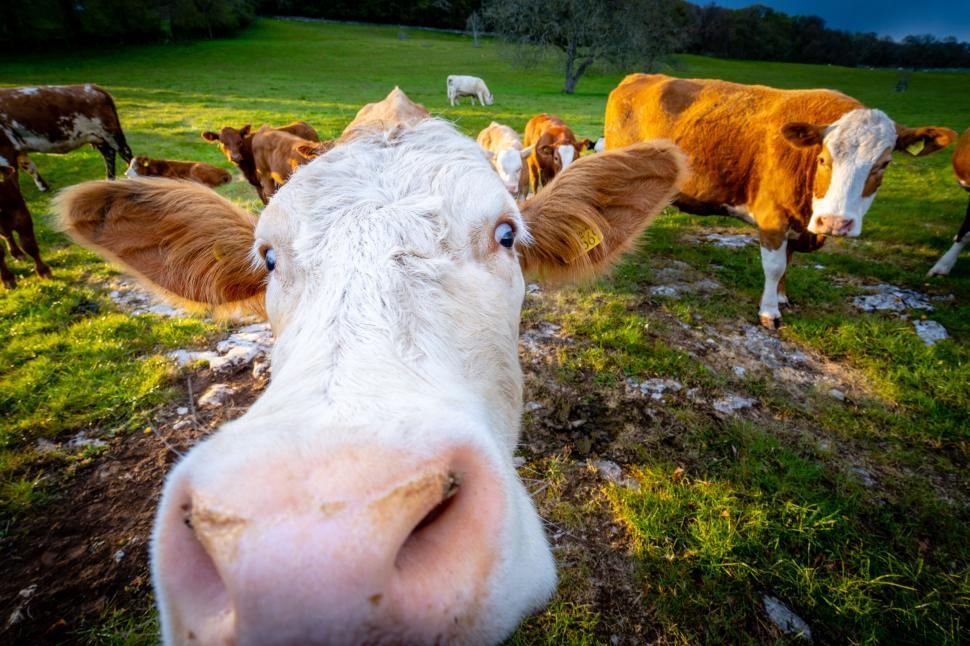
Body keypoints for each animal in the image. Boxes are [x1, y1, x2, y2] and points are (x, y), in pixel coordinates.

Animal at [0, 84, 133, 192]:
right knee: (109, 156)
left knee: (127, 156)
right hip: (100, 139)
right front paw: (44, 187)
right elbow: (29, 167)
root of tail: (94, 87)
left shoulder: (6, 149)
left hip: (111, 135)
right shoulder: (18, 149)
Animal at [605, 73, 957, 328]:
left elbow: (788, 261)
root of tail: (638, 76)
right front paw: (770, 311)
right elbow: (774, 266)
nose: (835, 222)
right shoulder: (772, 216)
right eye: (824, 158)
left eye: (884, 164)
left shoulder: (798, 224)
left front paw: (782, 297)